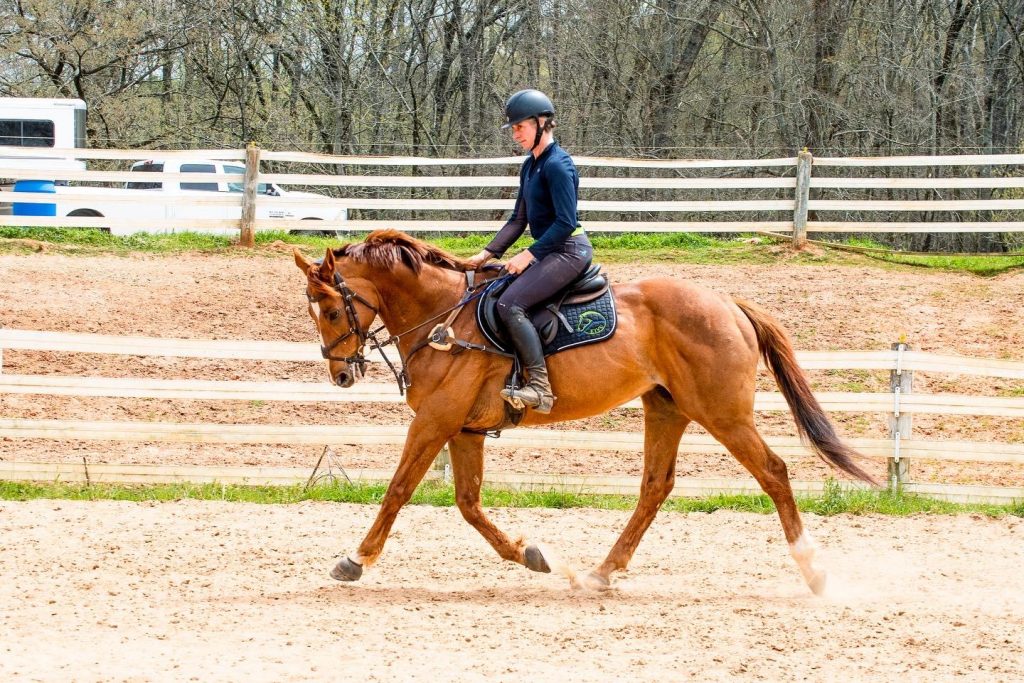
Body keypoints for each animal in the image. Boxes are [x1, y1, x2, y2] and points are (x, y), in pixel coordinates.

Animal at [294, 229, 876, 594]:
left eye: (331, 310)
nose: (341, 374)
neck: (443, 319)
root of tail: (729, 304)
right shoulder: (465, 429)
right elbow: (468, 503)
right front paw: (530, 554)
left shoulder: (435, 422)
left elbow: (398, 490)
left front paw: (354, 560)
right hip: (667, 409)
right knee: (655, 487)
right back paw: (600, 572)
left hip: (723, 415)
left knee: (773, 472)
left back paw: (815, 573)